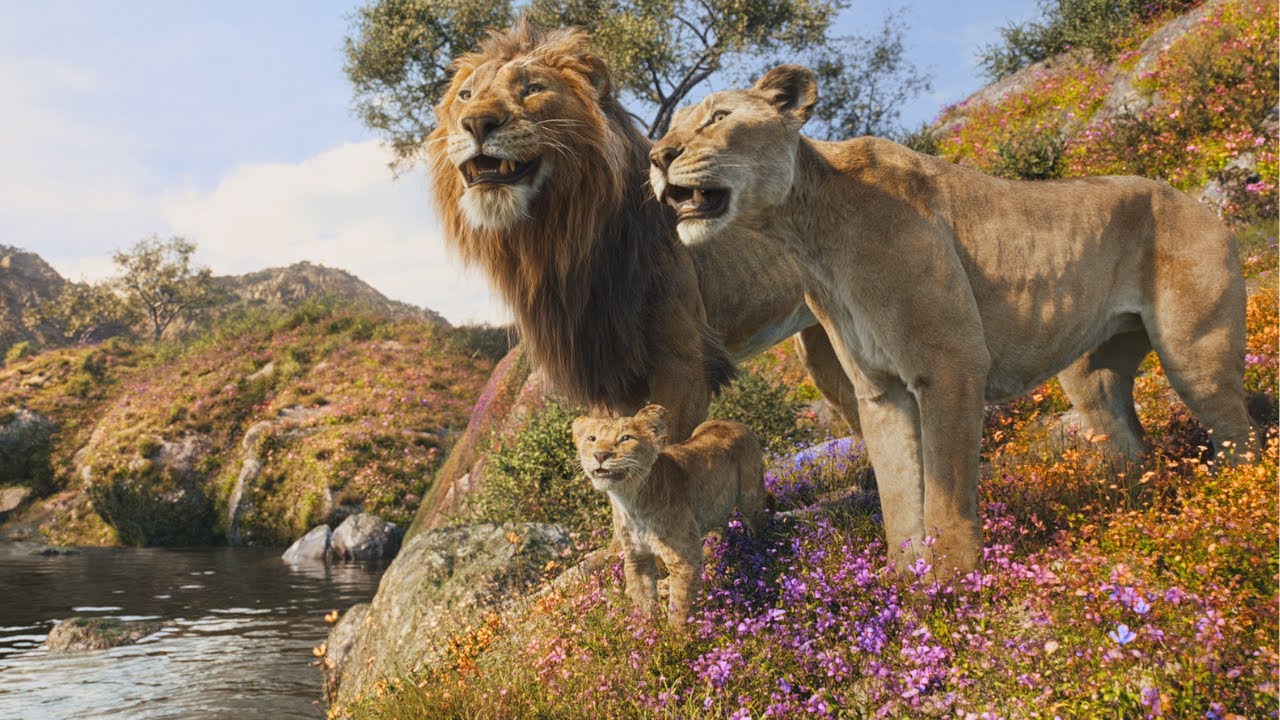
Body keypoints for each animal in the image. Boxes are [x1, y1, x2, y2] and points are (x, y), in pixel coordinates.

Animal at [572, 404, 767, 625]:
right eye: (591, 439)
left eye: (626, 438)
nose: (600, 455)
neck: (630, 501)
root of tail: (733, 422)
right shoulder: (636, 557)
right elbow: (643, 599)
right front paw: (649, 628)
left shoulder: (683, 559)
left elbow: (680, 607)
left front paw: (677, 633)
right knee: (718, 530)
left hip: (751, 498)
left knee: (759, 523)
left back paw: (759, 553)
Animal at [649, 64, 1256, 576]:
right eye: (672, 128)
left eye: (719, 117)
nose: (658, 157)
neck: (804, 232)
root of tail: (1198, 202)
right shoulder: (878, 389)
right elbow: (898, 491)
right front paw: (906, 583)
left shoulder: (950, 365)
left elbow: (944, 491)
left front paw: (954, 580)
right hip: (1091, 378)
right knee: (1130, 443)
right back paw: (1131, 518)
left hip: (1196, 352)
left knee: (1239, 431)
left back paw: (1233, 509)